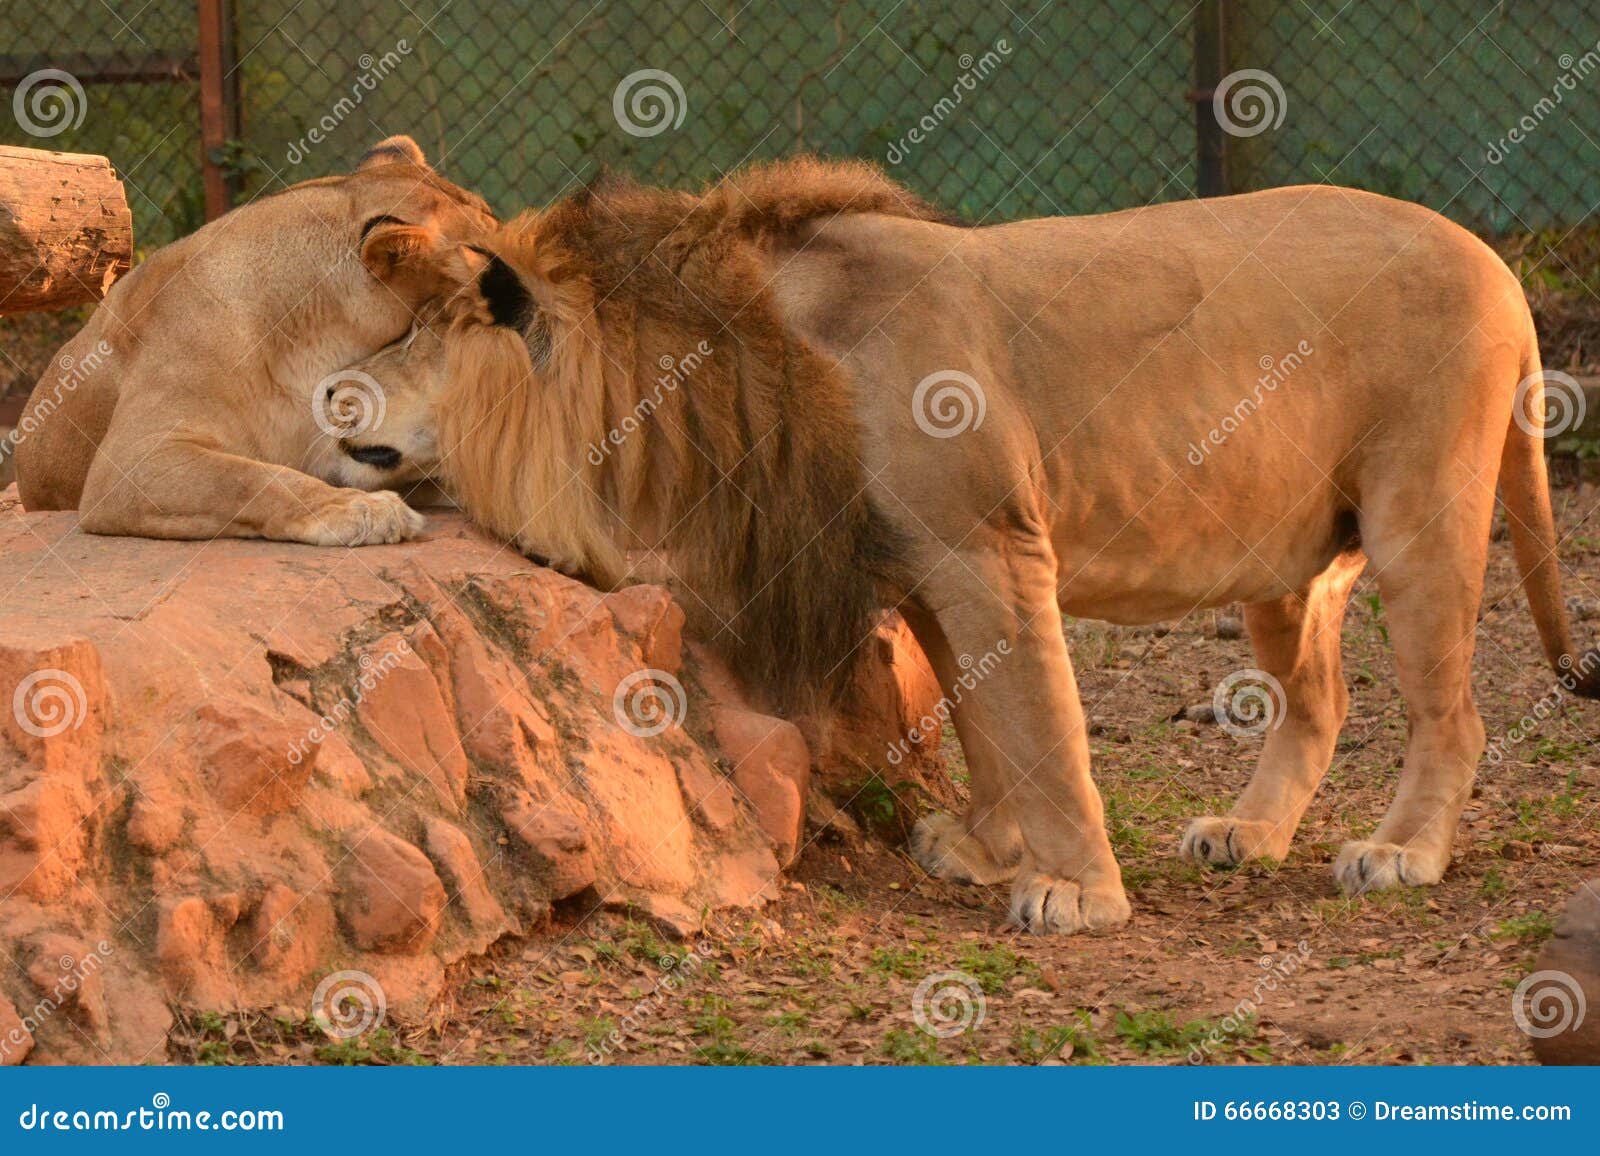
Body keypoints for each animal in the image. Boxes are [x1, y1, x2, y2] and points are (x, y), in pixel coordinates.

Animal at [339, 158, 1599, 935]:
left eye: (417, 333)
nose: (331, 396)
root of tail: (1494, 260)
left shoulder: (987, 546)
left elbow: (1040, 718)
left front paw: (1077, 894)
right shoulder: (919, 569)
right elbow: (987, 722)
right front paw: (995, 847)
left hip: (1418, 513)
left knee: (1452, 713)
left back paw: (1400, 853)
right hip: (1286, 550)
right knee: (1322, 697)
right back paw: (1247, 832)